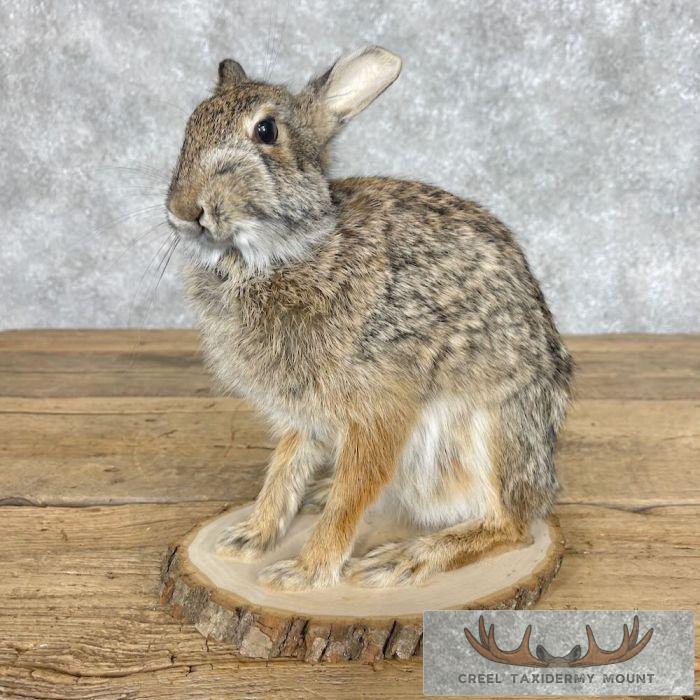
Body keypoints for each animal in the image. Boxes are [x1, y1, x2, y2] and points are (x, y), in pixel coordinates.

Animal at [165, 46, 573, 591]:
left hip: (492, 432)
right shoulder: (308, 412)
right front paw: (249, 537)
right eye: (192, 123)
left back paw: (406, 558)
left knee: (511, 525)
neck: (282, 254)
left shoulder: (380, 405)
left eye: (267, 131)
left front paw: (303, 573)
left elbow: (354, 493)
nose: (183, 209)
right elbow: (284, 466)